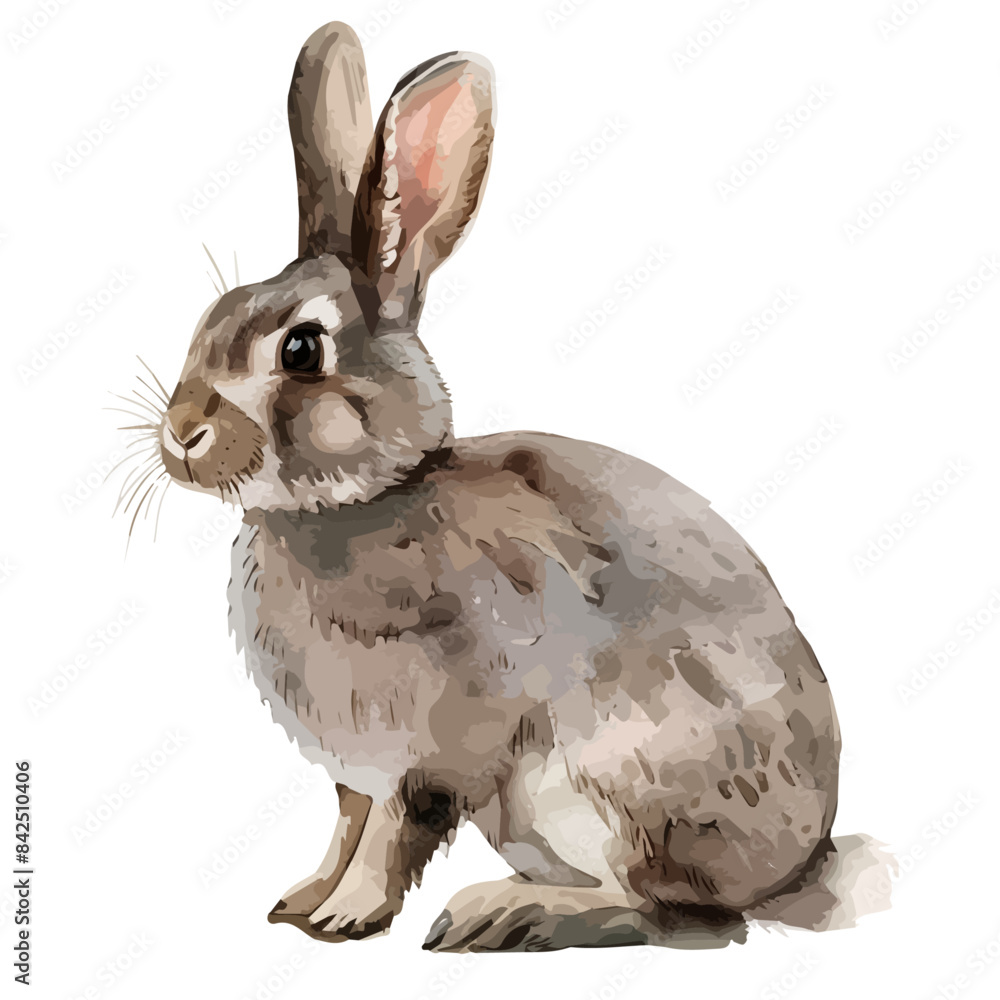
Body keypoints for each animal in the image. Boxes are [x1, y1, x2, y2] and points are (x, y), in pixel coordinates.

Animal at [154, 21, 844, 951]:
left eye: (300, 350)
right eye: (215, 315)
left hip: (603, 788)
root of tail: (803, 854)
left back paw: (501, 910)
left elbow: (392, 831)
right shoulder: (353, 769)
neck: (360, 502)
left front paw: (347, 914)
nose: (179, 434)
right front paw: (300, 900)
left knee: (654, 904)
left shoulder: (431, 746)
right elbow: (346, 822)